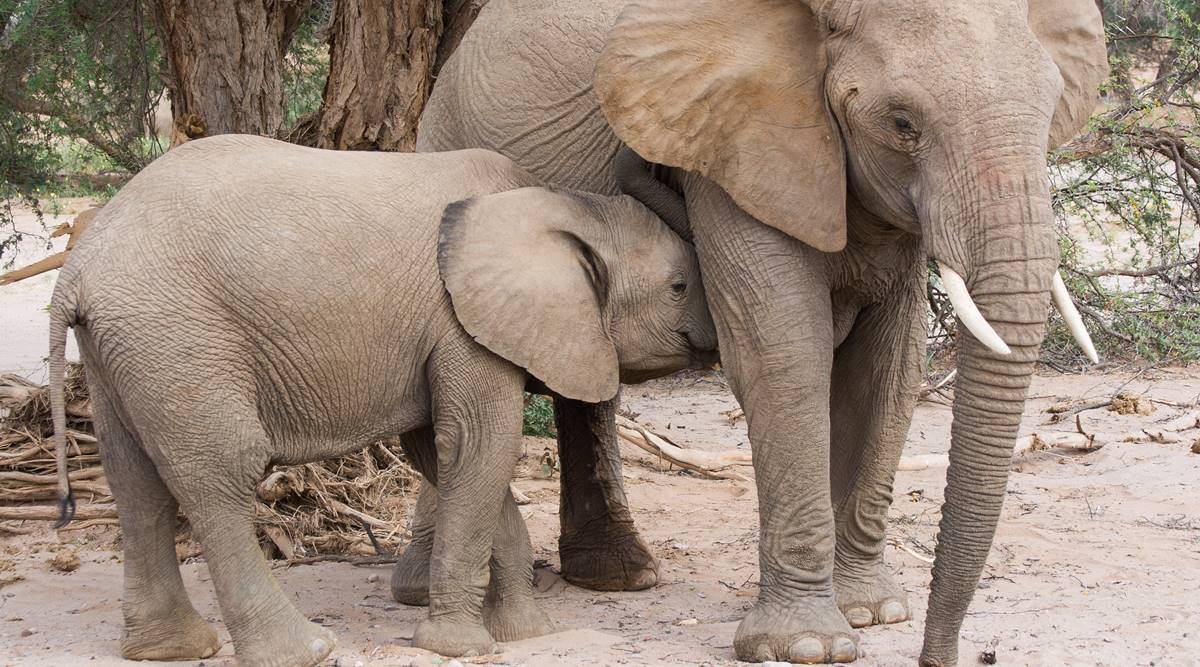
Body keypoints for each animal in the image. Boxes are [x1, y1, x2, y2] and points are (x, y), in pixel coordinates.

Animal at [46, 134, 717, 664]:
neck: (555, 203)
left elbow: (439, 453)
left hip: (126, 348)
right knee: (222, 473)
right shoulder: (460, 322)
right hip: (179, 338)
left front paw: (526, 634)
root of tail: (76, 271)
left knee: (135, 482)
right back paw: (307, 652)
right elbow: (477, 444)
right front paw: (461, 649)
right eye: (679, 287)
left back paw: (172, 649)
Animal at [409, 0, 1109, 664]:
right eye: (902, 123)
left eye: (1051, 110)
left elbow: (889, 365)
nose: (940, 659)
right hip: (445, 146)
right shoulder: (729, 144)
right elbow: (784, 352)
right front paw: (809, 646)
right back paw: (425, 593)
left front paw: (871, 614)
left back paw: (618, 576)